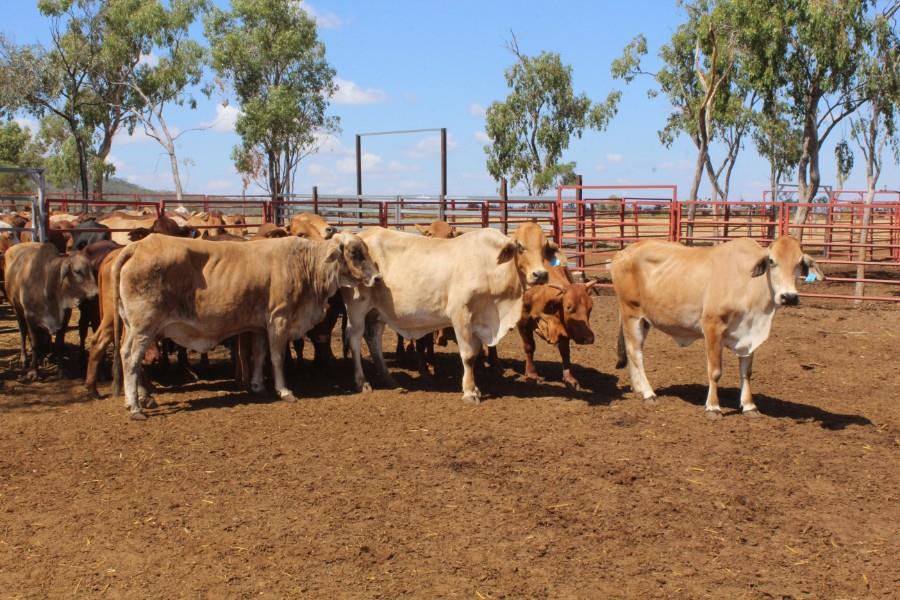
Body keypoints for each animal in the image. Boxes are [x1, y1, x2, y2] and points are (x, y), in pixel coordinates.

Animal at [4, 243, 98, 380]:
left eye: (92, 270)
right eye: (77, 271)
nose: (96, 294)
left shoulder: (65, 317)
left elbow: (59, 344)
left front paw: (61, 371)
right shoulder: (30, 317)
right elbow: (35, 343)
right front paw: (33, 372)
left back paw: (43, 357)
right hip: (16, 309)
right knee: (23, 333)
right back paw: (24, 359)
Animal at [113, 232, 381, 418]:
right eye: (355, 252)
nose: (378, 277)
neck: (304, 265)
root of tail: (138, 246)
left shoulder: (259, 327)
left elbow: (260, 355)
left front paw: (257, 385)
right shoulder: (278, 320)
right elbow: (276, 357)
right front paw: (284, 391)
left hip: (133, 328)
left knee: (128, 355)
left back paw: (139, 399)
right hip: (144, 327)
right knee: (131, 359)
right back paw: (135, 407)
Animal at [342, 222, 558, 403]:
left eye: (545, 247)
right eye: (520, 246)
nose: (540, 274)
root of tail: (362, 235)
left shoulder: (478, 320)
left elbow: (476, 353)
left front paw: (474, 388)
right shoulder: (461, 314)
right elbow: (468, 355)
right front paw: (470, 392)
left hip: (377, 312)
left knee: (373, 340)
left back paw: (390, 380)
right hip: (357, 307)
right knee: (354, 338)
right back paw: (362, 382)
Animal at [610, 235, 823, 418]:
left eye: (800, 263)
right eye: (771, 261)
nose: (789, 297)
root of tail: (623, 253)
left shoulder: (749, 335)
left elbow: (746, 372)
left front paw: (749, 406)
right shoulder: (712, 327)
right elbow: (715, 371)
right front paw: (713, 407)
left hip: (643, 320)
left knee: (633, 350)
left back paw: (638, 388)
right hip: (631, 313)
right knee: (635, 352)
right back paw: (648, 393)